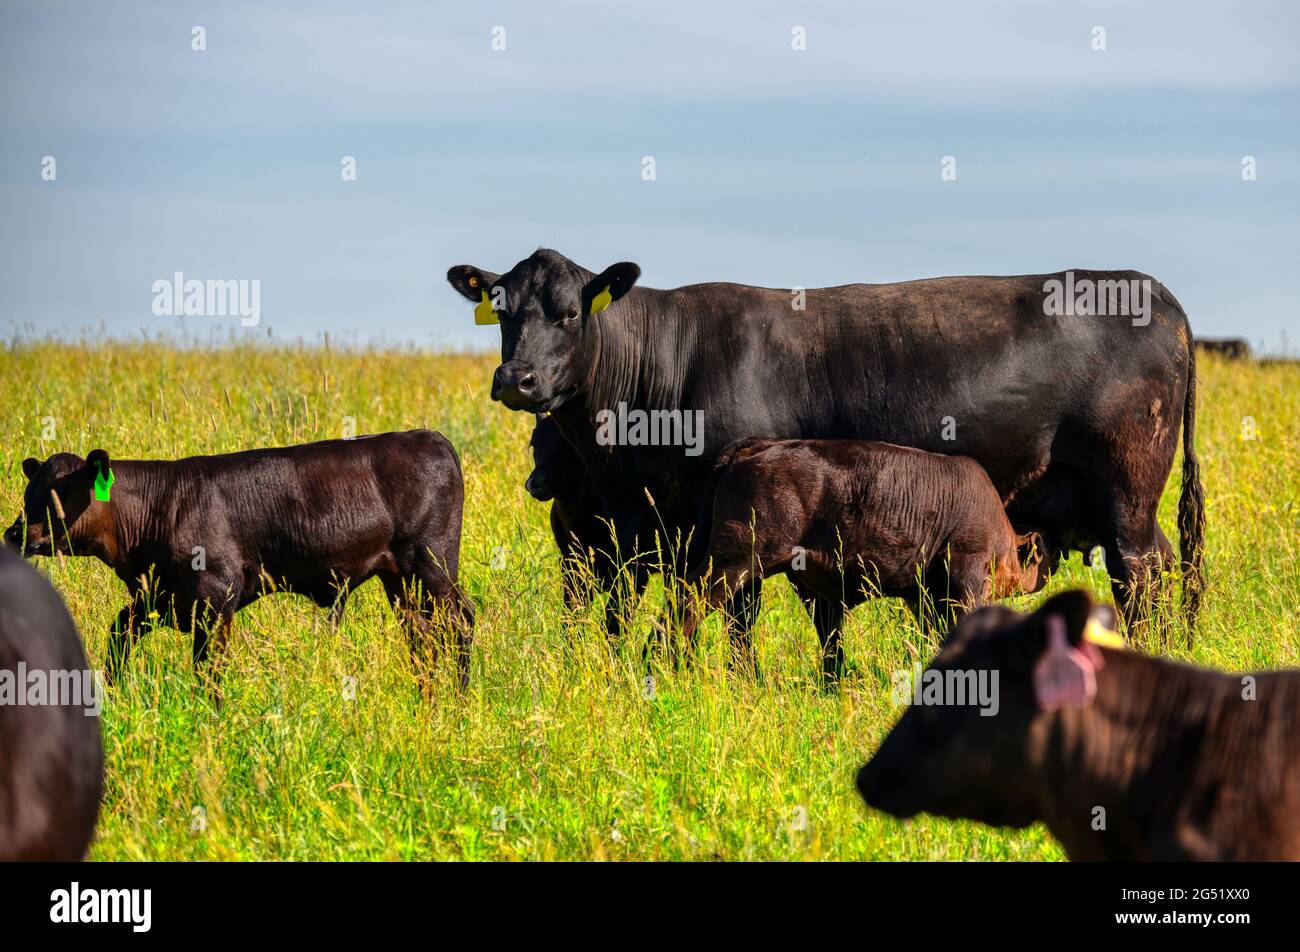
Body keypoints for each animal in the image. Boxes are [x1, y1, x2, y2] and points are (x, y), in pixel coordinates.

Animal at [4, 431, 475, 700]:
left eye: (59, 494)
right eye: (30, 492)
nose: (14, 533)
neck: (159, 507)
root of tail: (428, 435)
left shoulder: (215, 598)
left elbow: (208, 671)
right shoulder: (156, 596)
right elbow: (118, 636)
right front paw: (113, 696)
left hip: (432, 564)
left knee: (460, 621)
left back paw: (459, 701)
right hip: (400, 578)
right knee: (422, 635)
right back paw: (425, 703)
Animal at [447, 250, 1204, 641]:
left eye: (572, 313)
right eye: (503, 312)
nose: (517, 379)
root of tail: (1156, 294)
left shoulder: (722, 530)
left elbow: (737, 619)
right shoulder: (635, 533)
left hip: (1126, 495)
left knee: (1142, 580)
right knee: (1171, 569)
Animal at [681, 438, 1046, 681]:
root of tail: (753, 447)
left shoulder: (923, 595)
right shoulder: (967, 578)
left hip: (751, 574)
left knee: (741, 624)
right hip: (733, 564)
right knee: (689, 603)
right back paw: (675, 668)